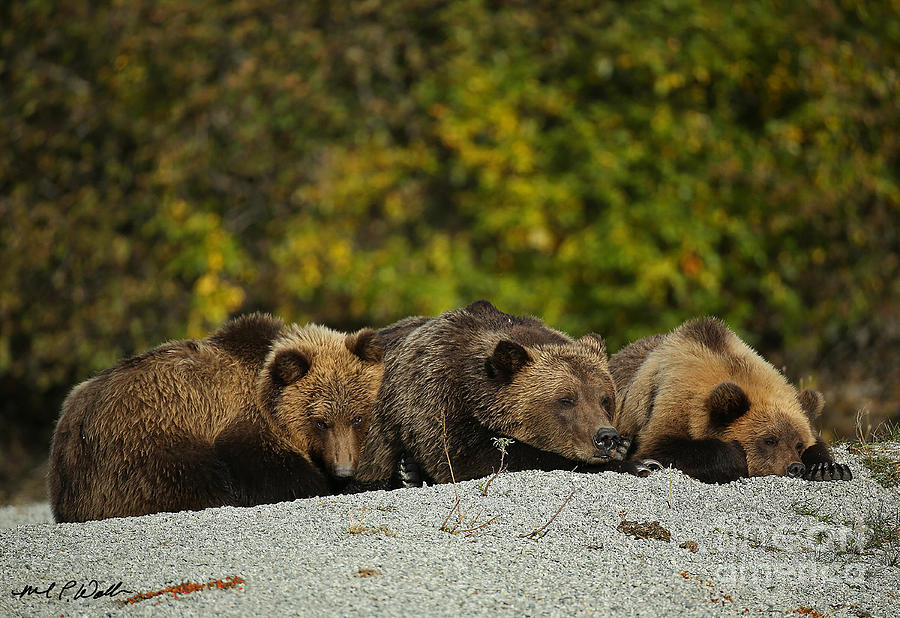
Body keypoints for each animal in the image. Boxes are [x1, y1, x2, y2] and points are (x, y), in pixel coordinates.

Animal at [48, 313, 383, 522]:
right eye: (320, 421)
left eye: (357, 417)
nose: (343, 471)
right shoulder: (242, 428)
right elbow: (281, 477)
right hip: (143, 442)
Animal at [355, 300, 628, 486]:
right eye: (566, 400)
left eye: (604, 399)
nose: (606, 437)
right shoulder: (436, 392)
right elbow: (469, 457)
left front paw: (624, 448)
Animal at [609, 316, 852, 484]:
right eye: (769, 440)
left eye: (799, 444)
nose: (794, 467)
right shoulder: (670, 400)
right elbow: (658, 446)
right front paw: (736, 456)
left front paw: (828, 468)